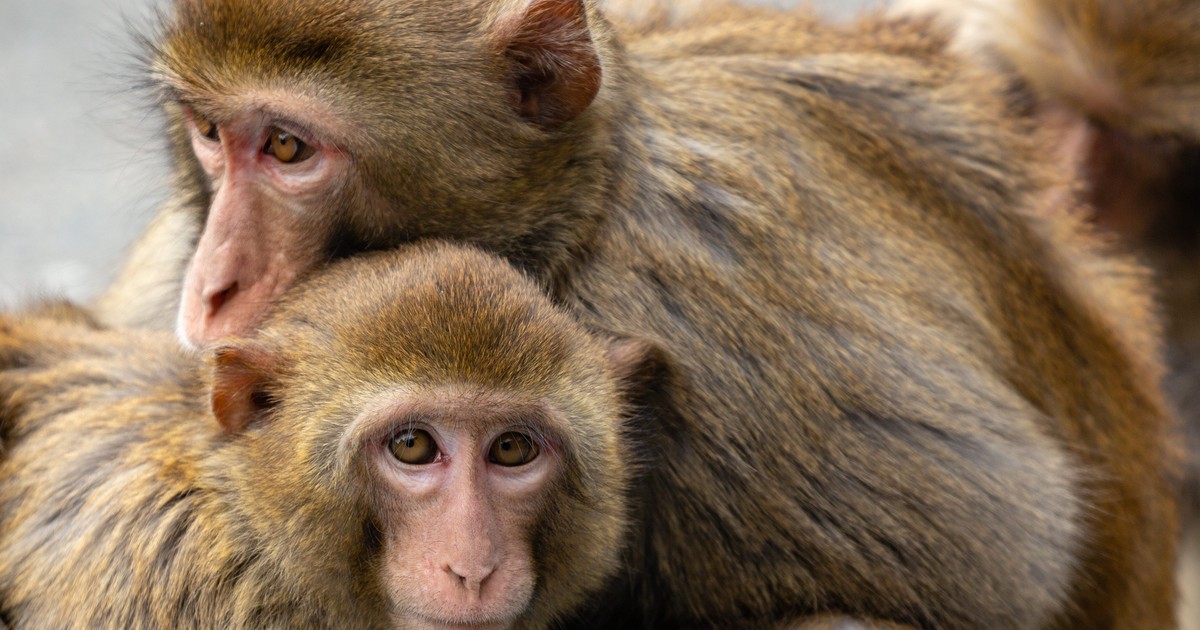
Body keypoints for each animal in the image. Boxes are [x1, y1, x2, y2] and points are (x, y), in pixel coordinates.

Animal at [83, 0, 1178, 627]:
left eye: (290, 149)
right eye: (211, 133)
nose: (212, 285)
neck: (584, 201)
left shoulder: (706, 336)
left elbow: (992, 571)